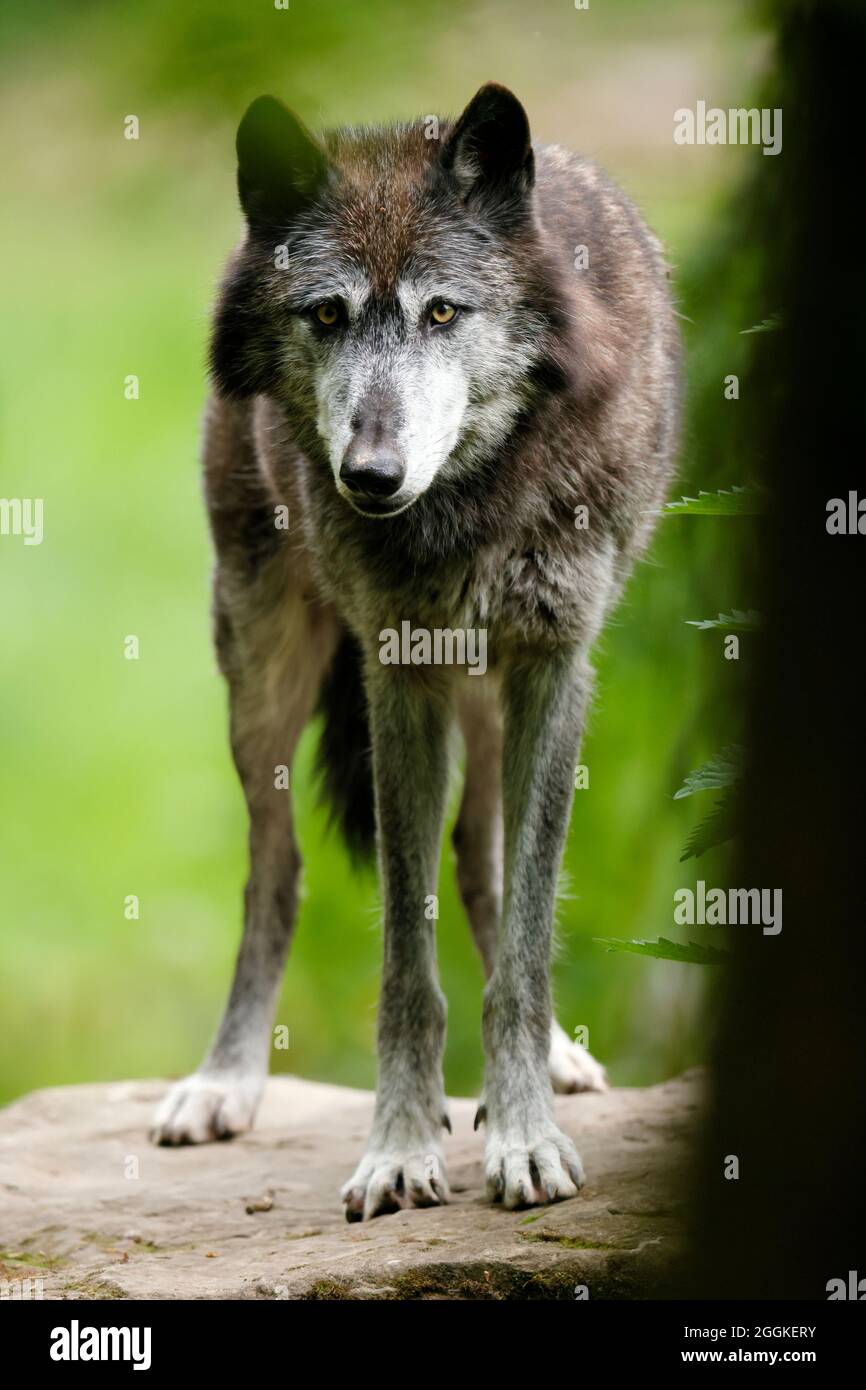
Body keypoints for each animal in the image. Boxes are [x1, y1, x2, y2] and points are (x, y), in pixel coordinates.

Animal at [150, 84, 680, 1221]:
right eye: (325, 315)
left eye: (442, 312)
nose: (370, 474)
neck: (471, 501)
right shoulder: (398, 672)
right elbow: (403, 954)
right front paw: (399, 1147)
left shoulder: (551, 667)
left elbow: (523, 938)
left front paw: (524, 1134)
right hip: (263, 671)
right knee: (275, 870)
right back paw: (224, 1080)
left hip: (482, 698)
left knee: (482, 862)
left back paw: (555, 1062)